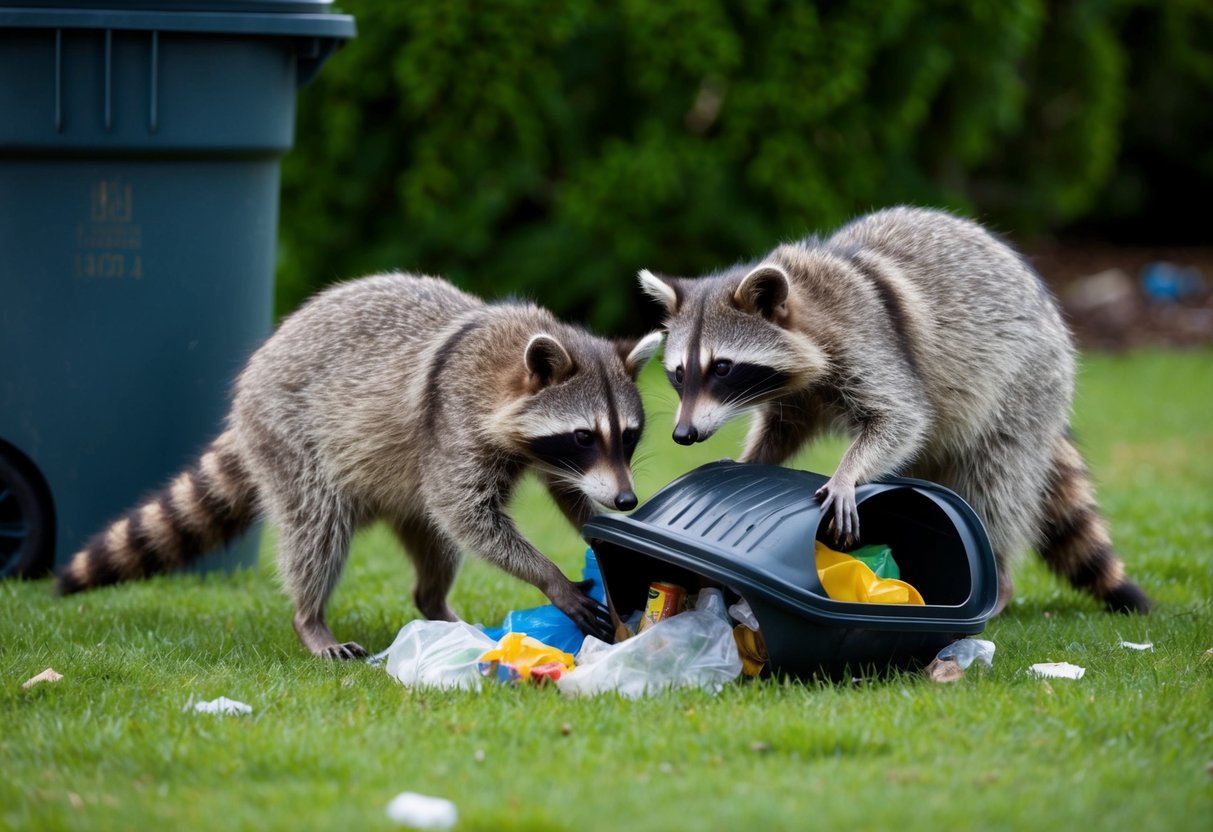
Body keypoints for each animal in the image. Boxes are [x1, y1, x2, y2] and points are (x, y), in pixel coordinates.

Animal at [56, 272, 663, 658]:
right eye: (584, 435)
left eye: (629, 437)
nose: (627, 499)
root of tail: (254, 375)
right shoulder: (452, 422)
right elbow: (466, 514)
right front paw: (549, 575)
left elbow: (562, 492)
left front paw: (598, 522)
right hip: (288, 435)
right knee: (316, 530)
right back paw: (310, 618)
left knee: (432, 541)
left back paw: (436, 606)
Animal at [639, 206, 1150, 615]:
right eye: (679, 374)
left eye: (722, 368)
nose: (683, 434)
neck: (806, 297)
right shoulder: (796, 393)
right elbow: (784, 429)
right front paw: (754, 458)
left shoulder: (868, 339)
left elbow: (900, 418)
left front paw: (847, 473)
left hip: (1026, 383)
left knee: (995, 483)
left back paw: (999, 578)